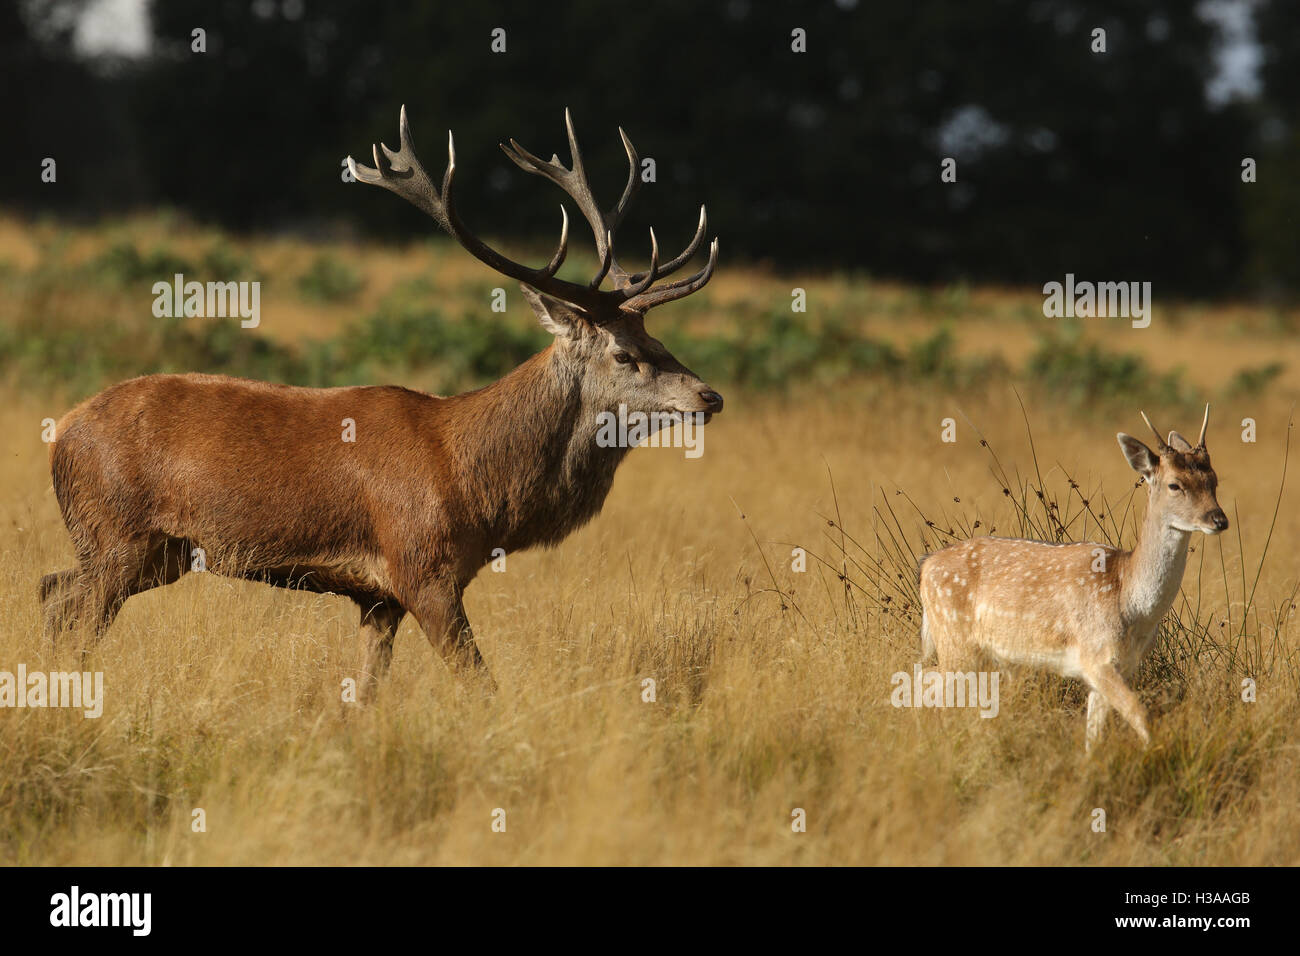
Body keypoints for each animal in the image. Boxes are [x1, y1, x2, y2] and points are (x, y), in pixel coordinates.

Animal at [39, 106, 724, 698]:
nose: (710, 396)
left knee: (50, 590)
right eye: (624, 355)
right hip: (115, 533)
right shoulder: (422, 568)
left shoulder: (379, 597)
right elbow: (481, 686)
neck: (476, 482)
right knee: (70, 609)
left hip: (159, 552)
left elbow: (366, 692)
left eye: (660, 341)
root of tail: (62, 428)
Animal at [917, 406, 1227, 752]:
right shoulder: (1096, 655)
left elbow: (1094, 735)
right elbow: (1140, 713)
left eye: (1214, 480)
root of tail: (926, 565)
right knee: (928, 686)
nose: (1218, 519)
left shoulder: (1121, 666)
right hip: (953, 638)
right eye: (1175, 485)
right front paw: (1157, 755)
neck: (1129, 600)